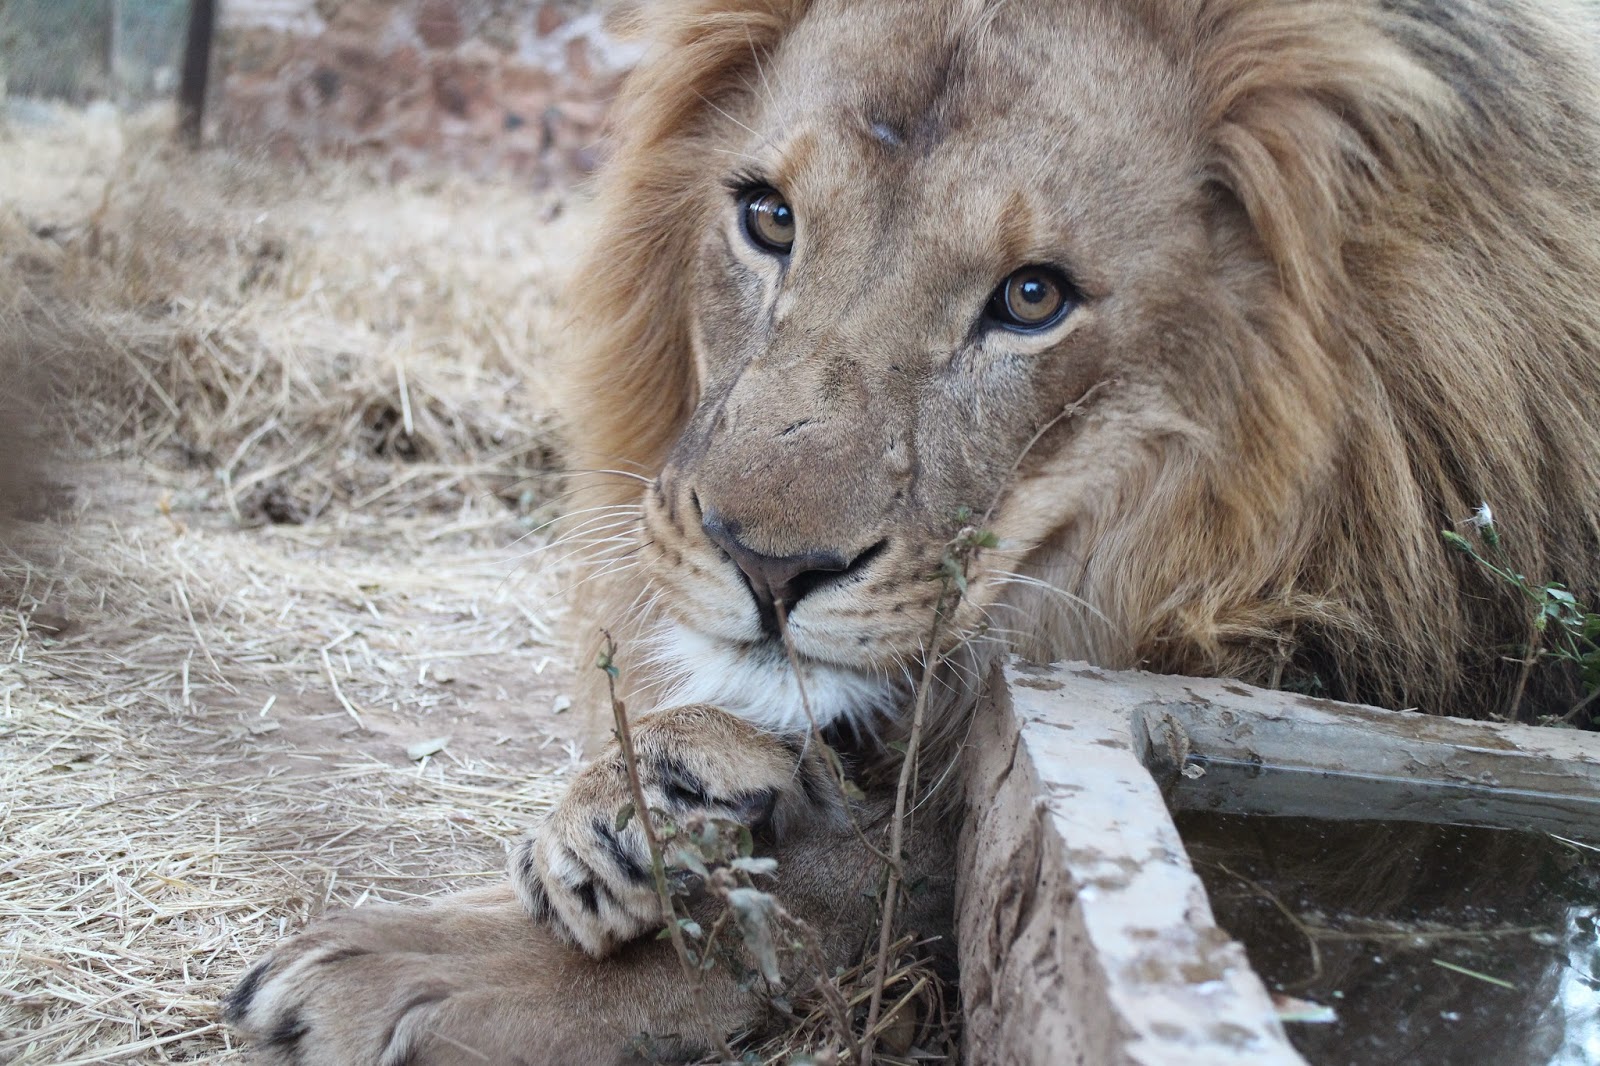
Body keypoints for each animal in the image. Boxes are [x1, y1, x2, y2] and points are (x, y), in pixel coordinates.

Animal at [224, 0, 1600, 1061]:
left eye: (1033, 297)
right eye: (768, 218)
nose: (766, 564)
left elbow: (894, 870)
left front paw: (432, 960)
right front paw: (644, 804)